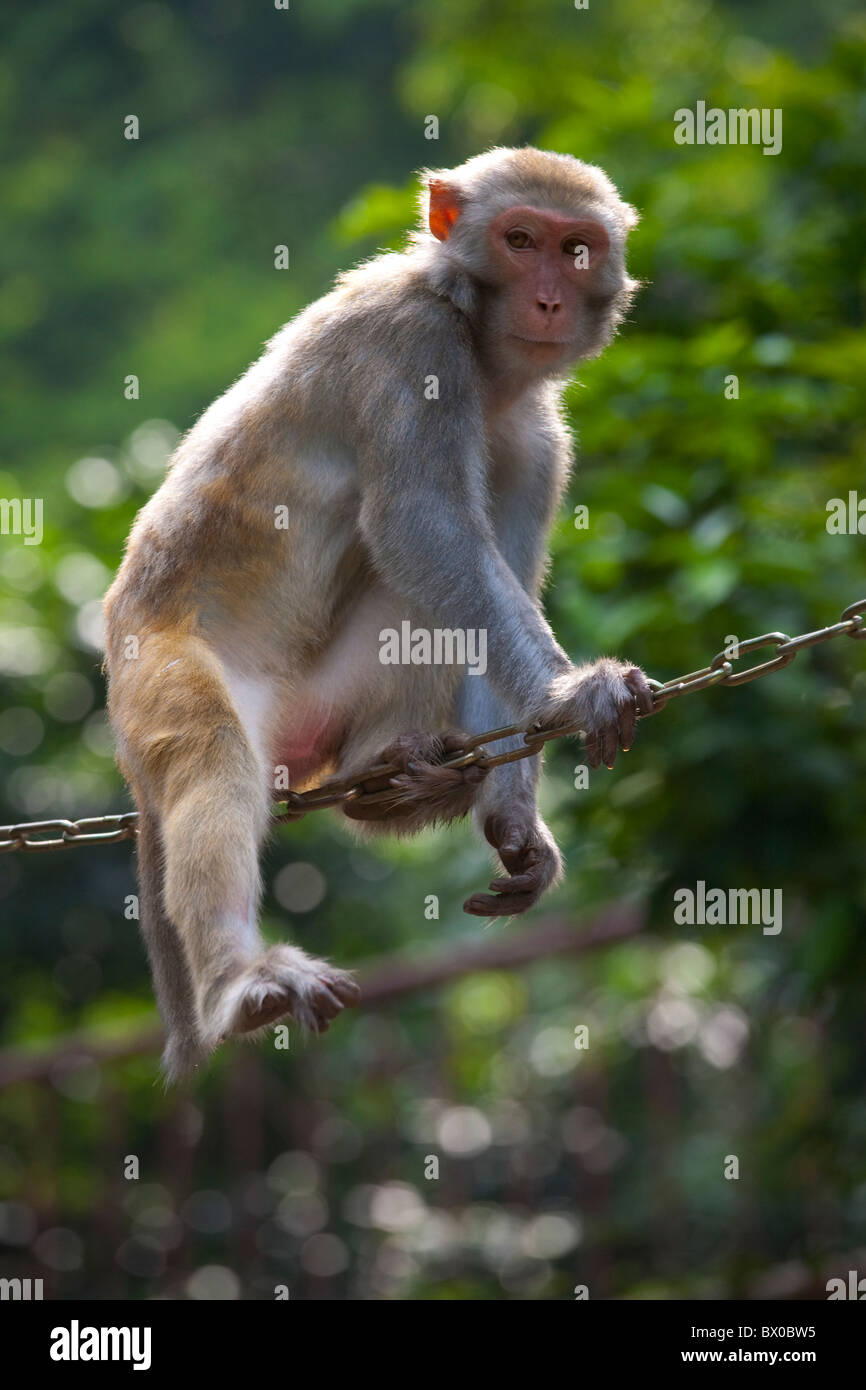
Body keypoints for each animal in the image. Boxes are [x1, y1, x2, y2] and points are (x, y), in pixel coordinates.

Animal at [103, 145, 653, 1081]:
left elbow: (496, 569)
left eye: (574, 250)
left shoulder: (540, 439)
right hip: (155, 672)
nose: (548, 299)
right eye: (520, 240)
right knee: (212, 756)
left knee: (415, 605)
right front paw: (578, 693)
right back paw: (241, 983)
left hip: (325, 712)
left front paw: (516, 820)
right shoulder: (412, 345)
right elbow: (423, 527)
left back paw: (398, 779)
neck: (473, 337)